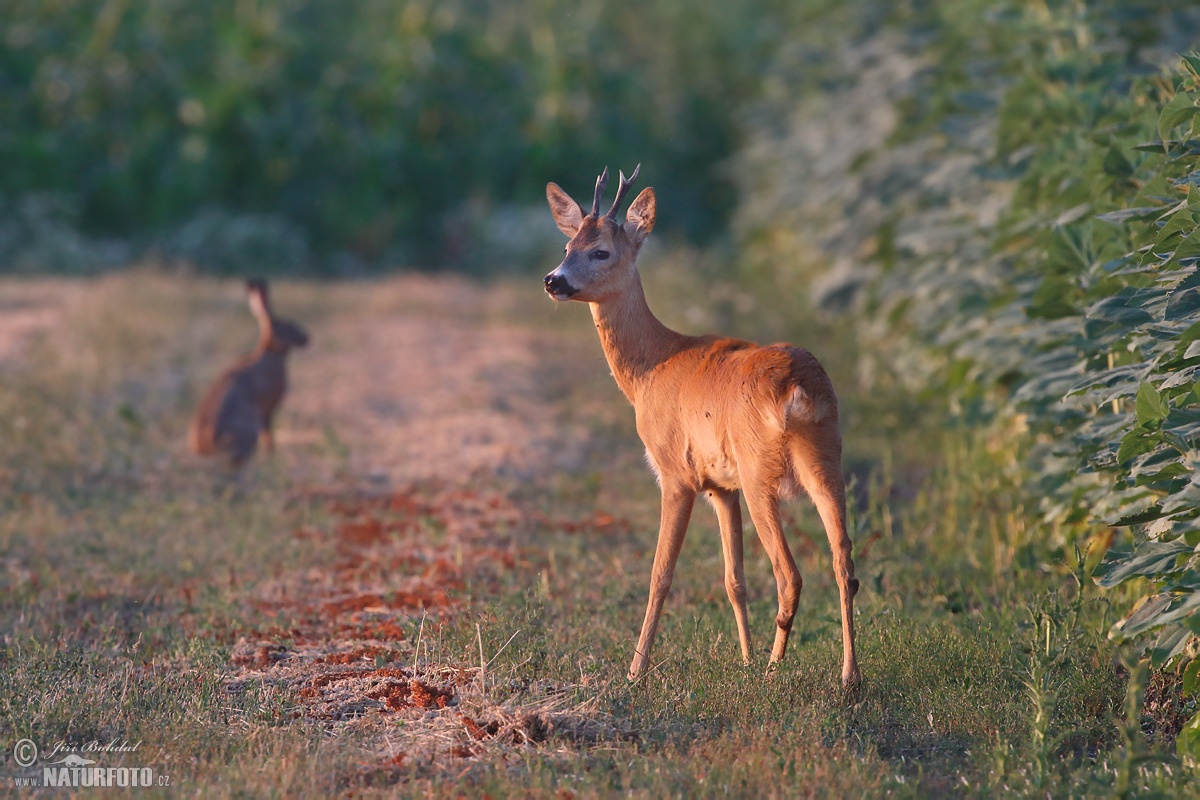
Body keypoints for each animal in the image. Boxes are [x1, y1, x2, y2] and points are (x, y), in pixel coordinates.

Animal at [189, 278, 309, 467]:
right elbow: (267, 432)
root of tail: (205, 444)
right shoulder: (268, 409)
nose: (306, 338)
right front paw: (271, 455)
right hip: (248, 430)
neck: (270, 350)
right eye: (288, 326)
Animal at [543, 166, 861, 689]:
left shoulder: (676, 473)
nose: (553, 280)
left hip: (759, 472)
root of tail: (797, 387)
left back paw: (774, 670)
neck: (650, 369)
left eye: (600, 251)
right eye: (568, 245)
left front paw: (636, 670)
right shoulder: (721, 486)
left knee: (790, 574)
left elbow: (660, 575)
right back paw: (848, 676)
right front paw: (744, 657)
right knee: (844, 564)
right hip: (827, 458)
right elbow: (734, 580)